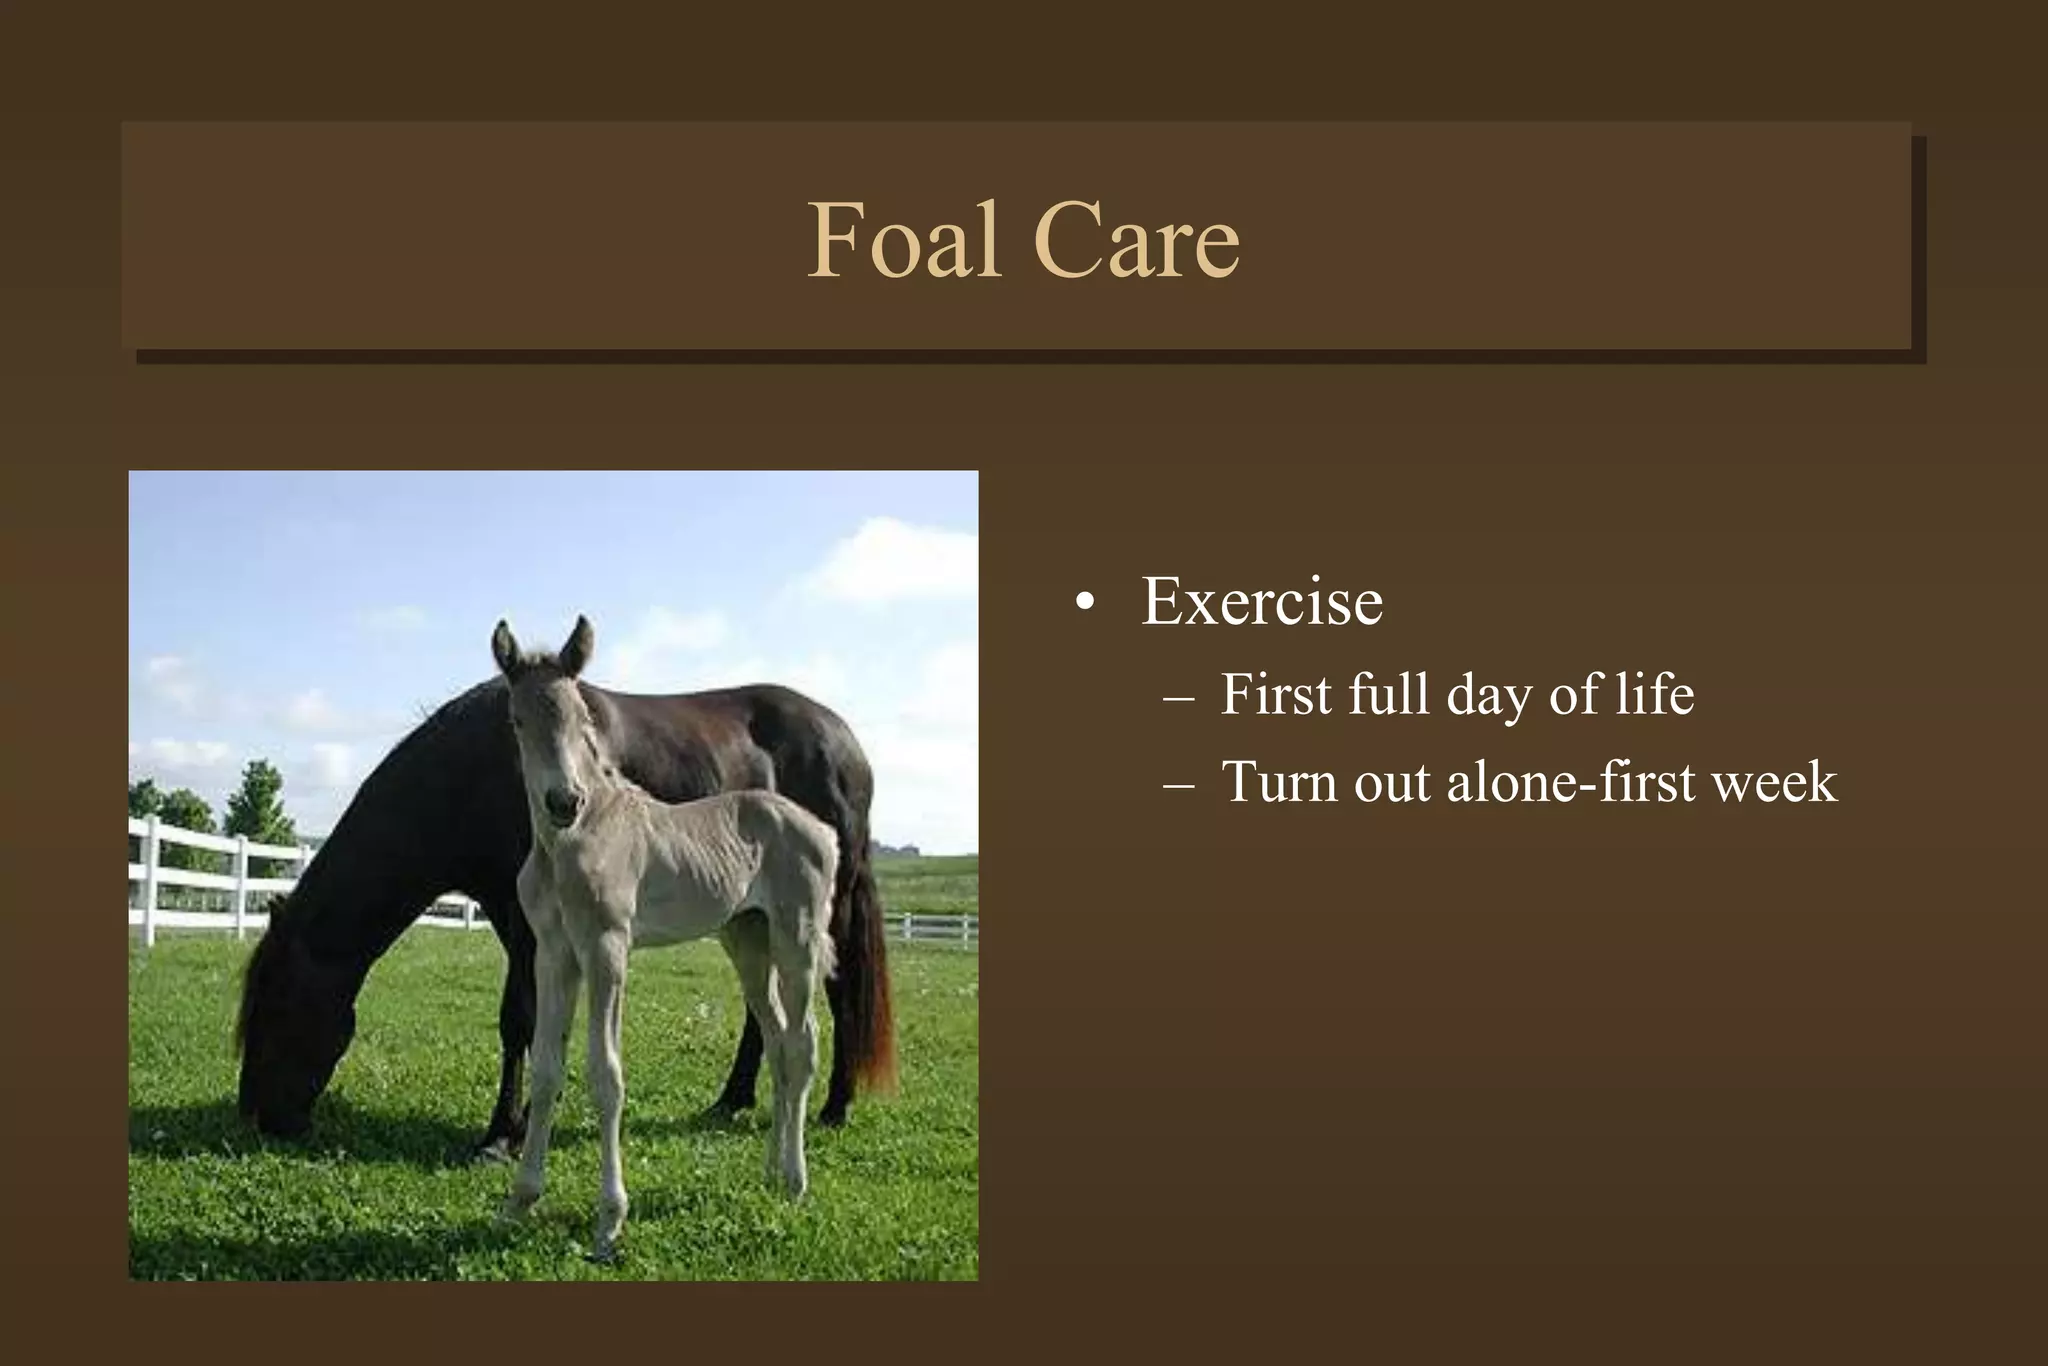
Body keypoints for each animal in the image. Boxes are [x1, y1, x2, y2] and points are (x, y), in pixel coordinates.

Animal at [235, 641, 894, 1156]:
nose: (259, 1118)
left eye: (276, 1005)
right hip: (752, 914)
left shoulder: (528, 924)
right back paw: (731, 1100)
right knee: (762, 1010)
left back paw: (833, 1107)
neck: (472, 773)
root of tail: (847, 745)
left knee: (835, 993)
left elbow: (519, 1019)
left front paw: (502, 1135)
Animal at [494, 616, 839, 1260]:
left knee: (802, 1044)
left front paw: (609, 1221)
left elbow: (605, 1076)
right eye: (517, 720)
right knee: (778, 1041)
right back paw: (771, 1171)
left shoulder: (608, 948)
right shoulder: (554, 955)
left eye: (583, 718)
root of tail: (822, 828)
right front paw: (521, 1200)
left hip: (797, 939)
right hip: (747, 942)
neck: (572, 844)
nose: (563, 801)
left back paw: (796, 1180)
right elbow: (548, 1069)